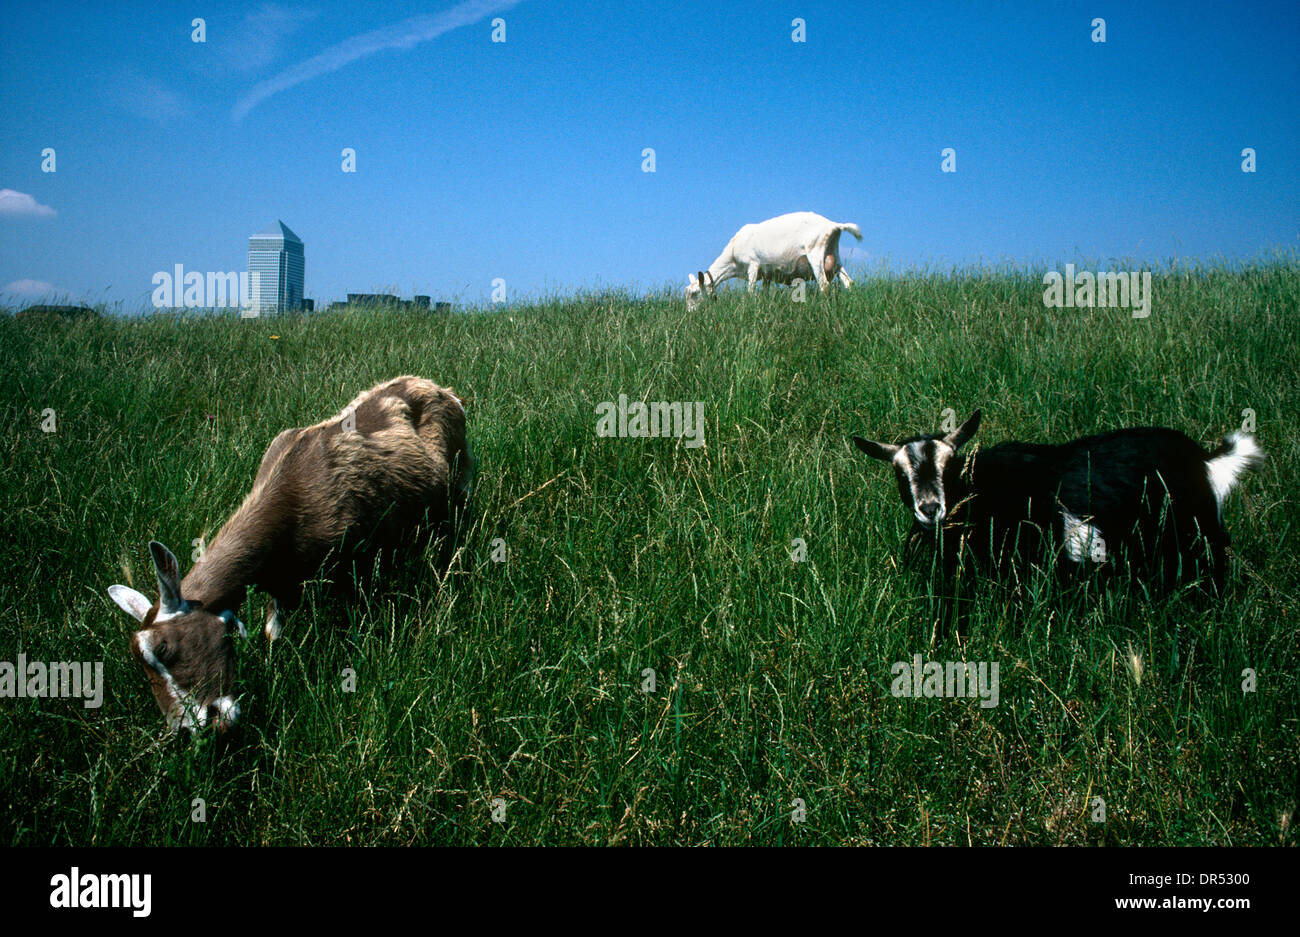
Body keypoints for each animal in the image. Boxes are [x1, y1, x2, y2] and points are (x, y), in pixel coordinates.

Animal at [107, 375, 472, 733]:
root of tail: (444, 390)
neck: (290, 496)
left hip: (461, 478)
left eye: (165, 649)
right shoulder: (280, 581)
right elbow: (273, 632)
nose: (190, 728)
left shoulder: (352, 564)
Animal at [686, 211, 862, 310]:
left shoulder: (753, 266)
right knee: (849, 282)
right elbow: (764, 294)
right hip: (834, 256)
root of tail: (833, 225)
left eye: (694, 293)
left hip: (816, 252)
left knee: (824, 285)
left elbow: (750, 292)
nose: (690, 314)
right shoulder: (767, 275)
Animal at [852, 410, 1263, 619]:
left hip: (1198, 540)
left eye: (950, 467)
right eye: (900, 473)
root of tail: (1204, 460)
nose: (930, 509)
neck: (982, 490)